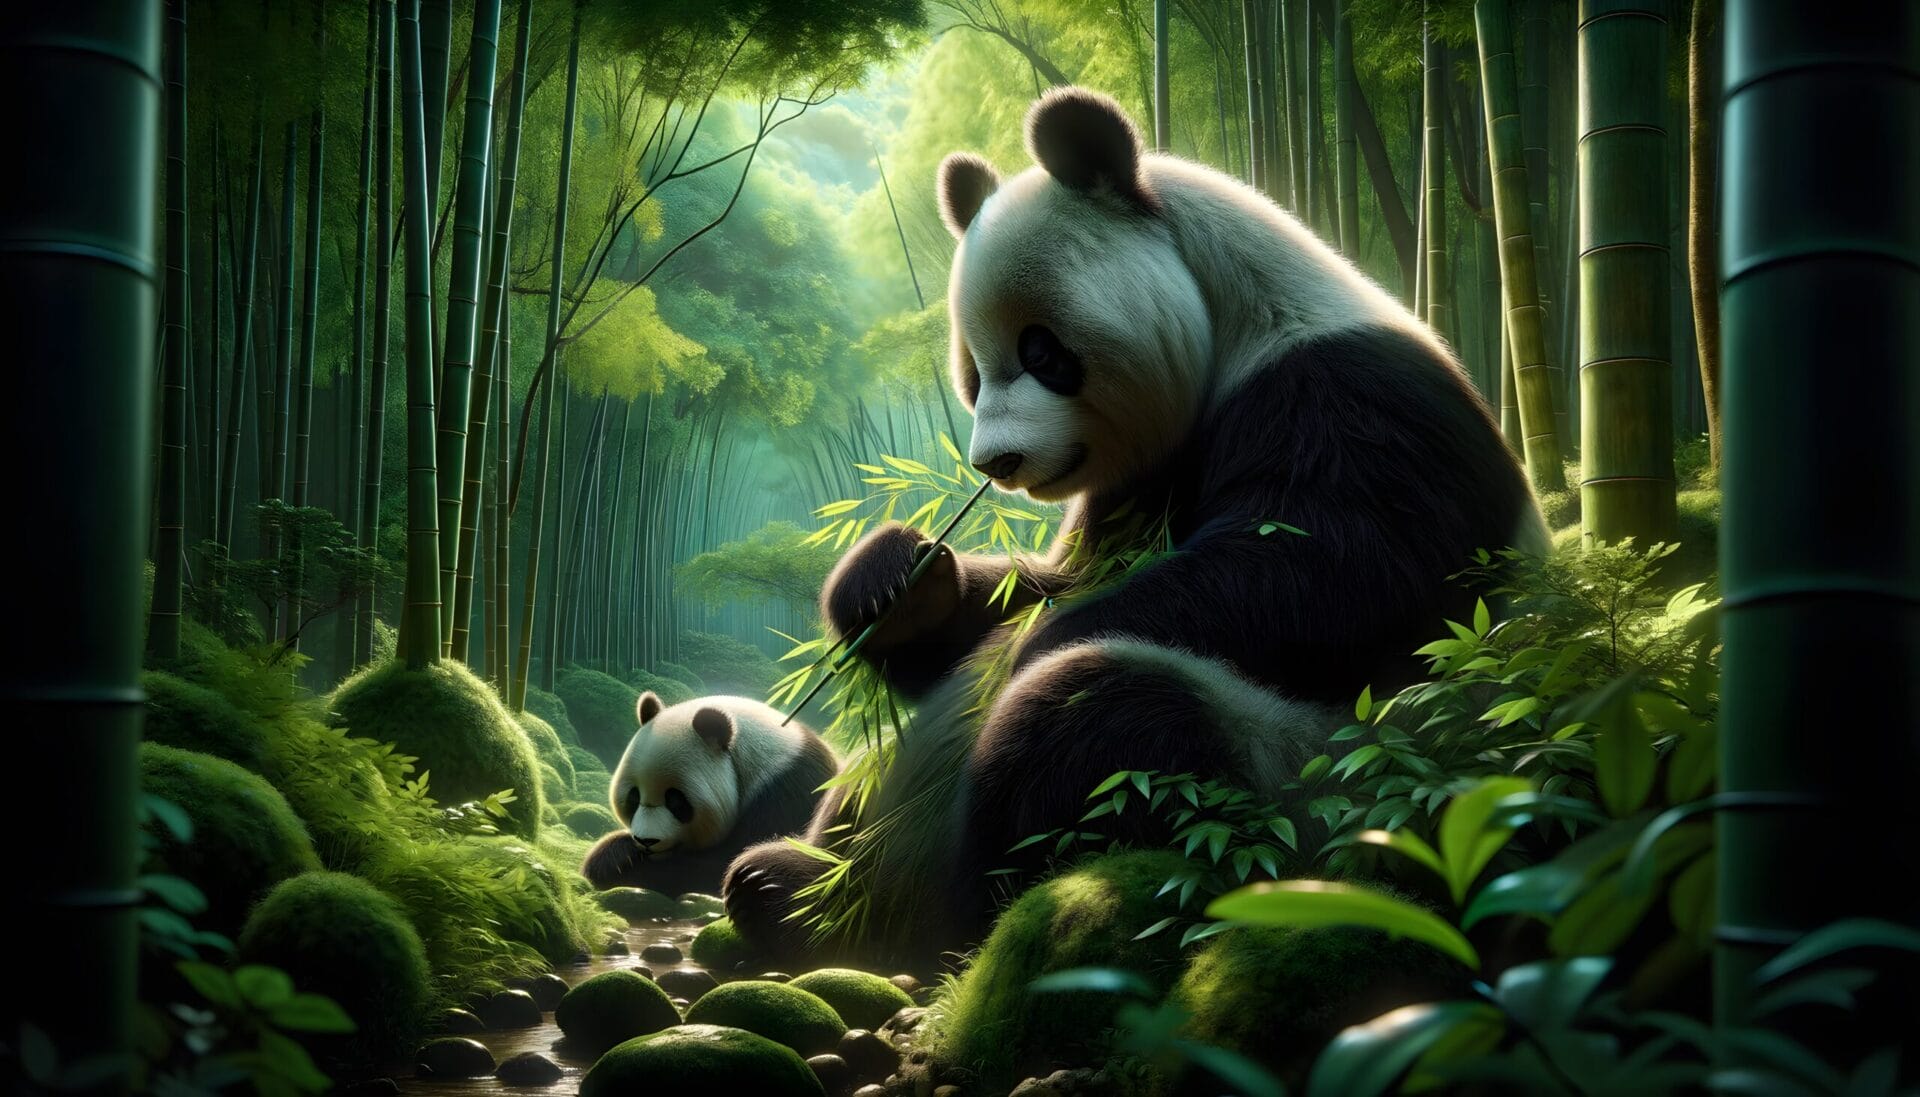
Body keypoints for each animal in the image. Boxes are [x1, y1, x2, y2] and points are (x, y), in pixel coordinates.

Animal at [581, 692, 840, 897]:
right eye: (634, 797)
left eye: (676, 801)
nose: (646, 841)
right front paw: (618, 855)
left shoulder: (786, 796)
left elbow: (717, 869)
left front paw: (620, 865)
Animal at [723, 87, 1545, 965]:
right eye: (973, 373)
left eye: (1042, 351)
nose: (996, 461)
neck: (1234, 320)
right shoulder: (1138, 481)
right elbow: (1044, 584)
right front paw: (892, 582)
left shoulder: (1356, 396)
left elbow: (1343, 573)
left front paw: (1033, 646)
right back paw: (786, 887)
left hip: (1318, 784)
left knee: (1101, 726)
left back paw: (939, 918)